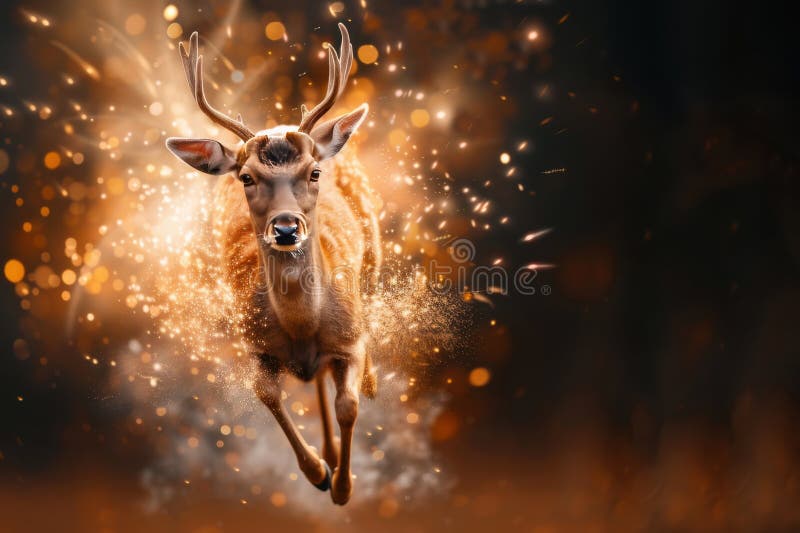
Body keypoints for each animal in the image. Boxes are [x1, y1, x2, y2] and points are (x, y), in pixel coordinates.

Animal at [165, 24, 381, 505]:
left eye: (313, 172)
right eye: (247, 177)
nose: (285, 228)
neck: (301, 327)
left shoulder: (351, 336)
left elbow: (348, 403)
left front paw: (343, 487)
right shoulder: (253, 340)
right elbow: (266, 394)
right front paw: (319, 471)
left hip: (374, 254)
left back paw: (371, 384)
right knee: (316, 377)